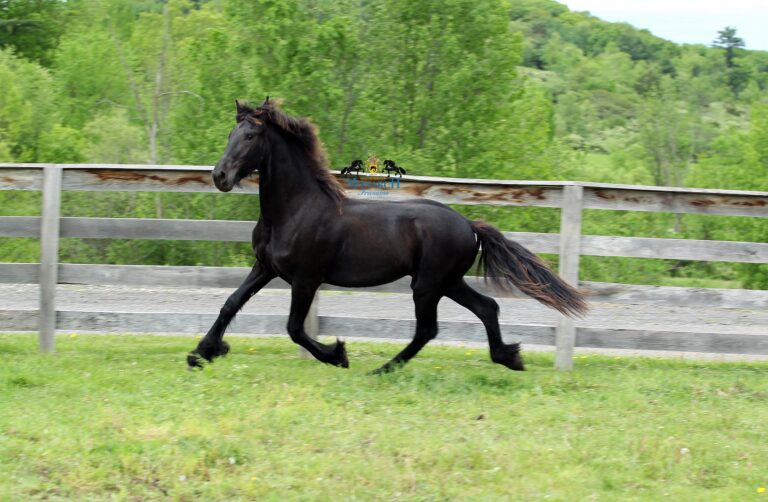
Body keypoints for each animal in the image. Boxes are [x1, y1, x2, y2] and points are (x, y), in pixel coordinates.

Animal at [188, 98, 587, 374]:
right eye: (230, 134)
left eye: (250, 135)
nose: (220, 176)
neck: (295, 210)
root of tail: (469, 225)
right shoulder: (265, 267)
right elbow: (230, 303)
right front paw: (202, 353)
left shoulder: (305, 279)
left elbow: (294, 328)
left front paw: (338, 355)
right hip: (447, 282)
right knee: (487, 307)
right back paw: (509, 357)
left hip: (427, 285)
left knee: (428, 329)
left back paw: (383, 369)